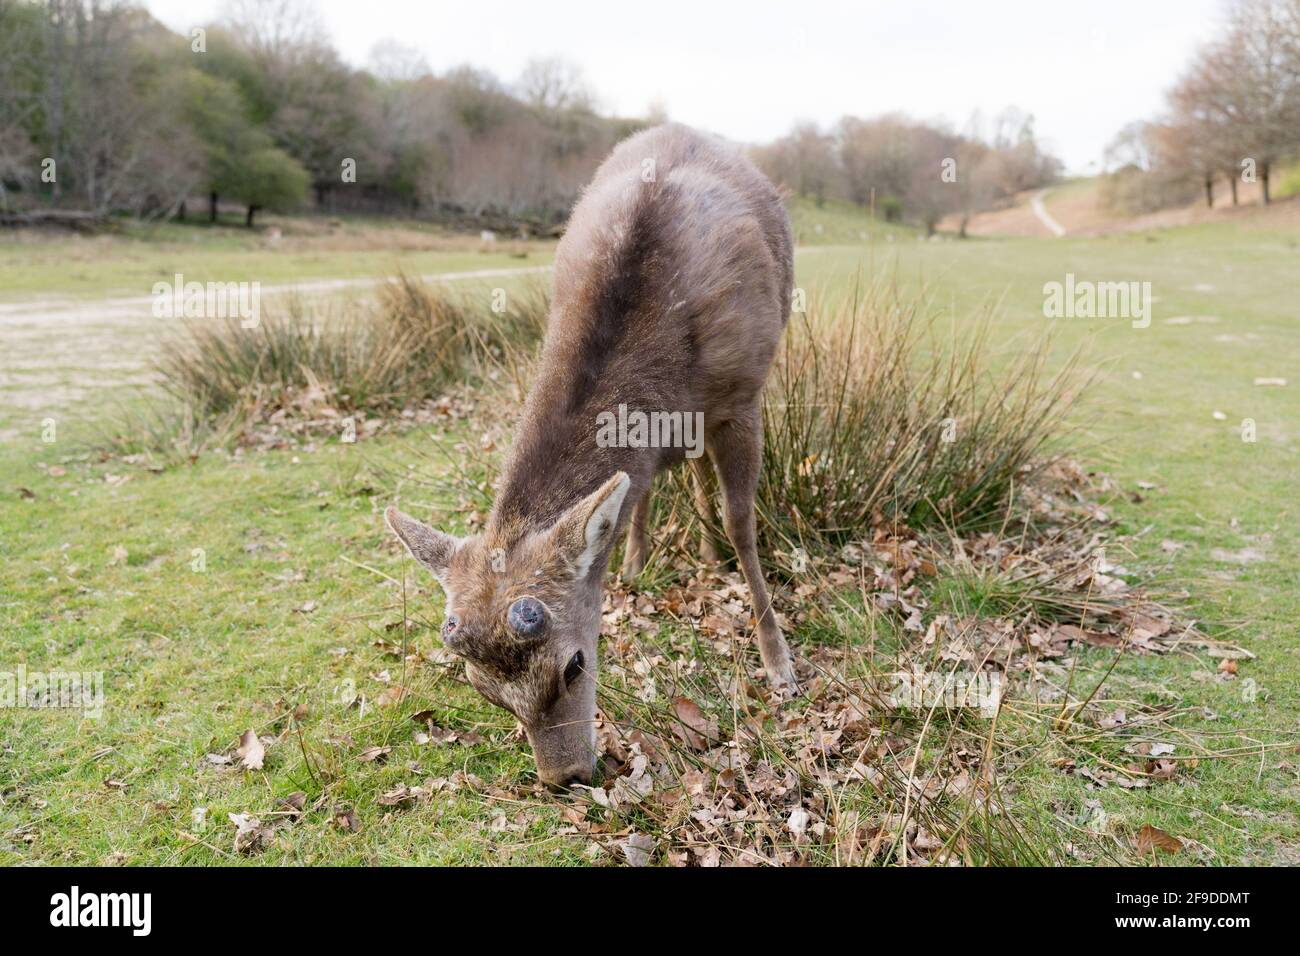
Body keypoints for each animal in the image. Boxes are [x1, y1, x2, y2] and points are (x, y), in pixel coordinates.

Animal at [384, 123, 796, 788]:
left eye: (575, 663)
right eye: (483, 689)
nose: (565, 776)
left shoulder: (744, 397)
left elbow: (743, 522)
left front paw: (780, 667)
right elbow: (643, 483)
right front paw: (637, 561)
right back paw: (639, 562)